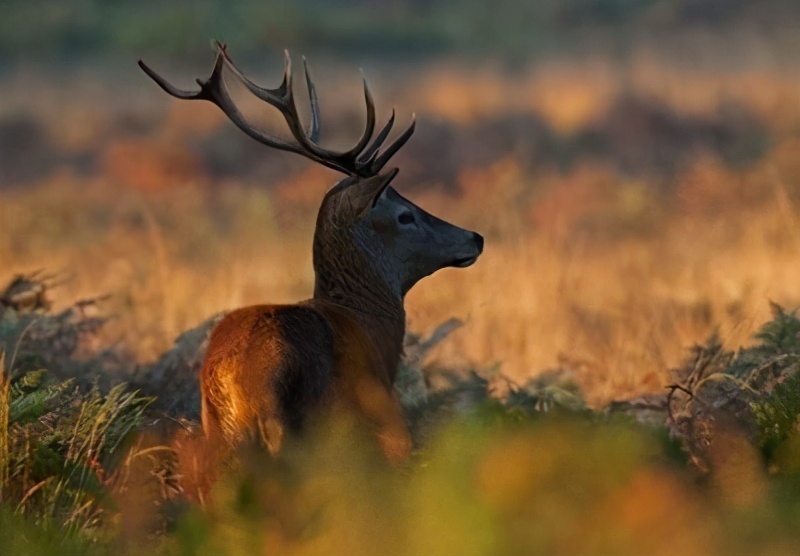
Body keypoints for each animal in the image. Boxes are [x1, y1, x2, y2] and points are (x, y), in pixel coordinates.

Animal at [138, 43, 483, 463]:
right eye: (405, 215)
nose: (474, 237)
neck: (372, 329)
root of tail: (235, 379)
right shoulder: (380, 420)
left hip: (216, 432)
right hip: (299, 427)